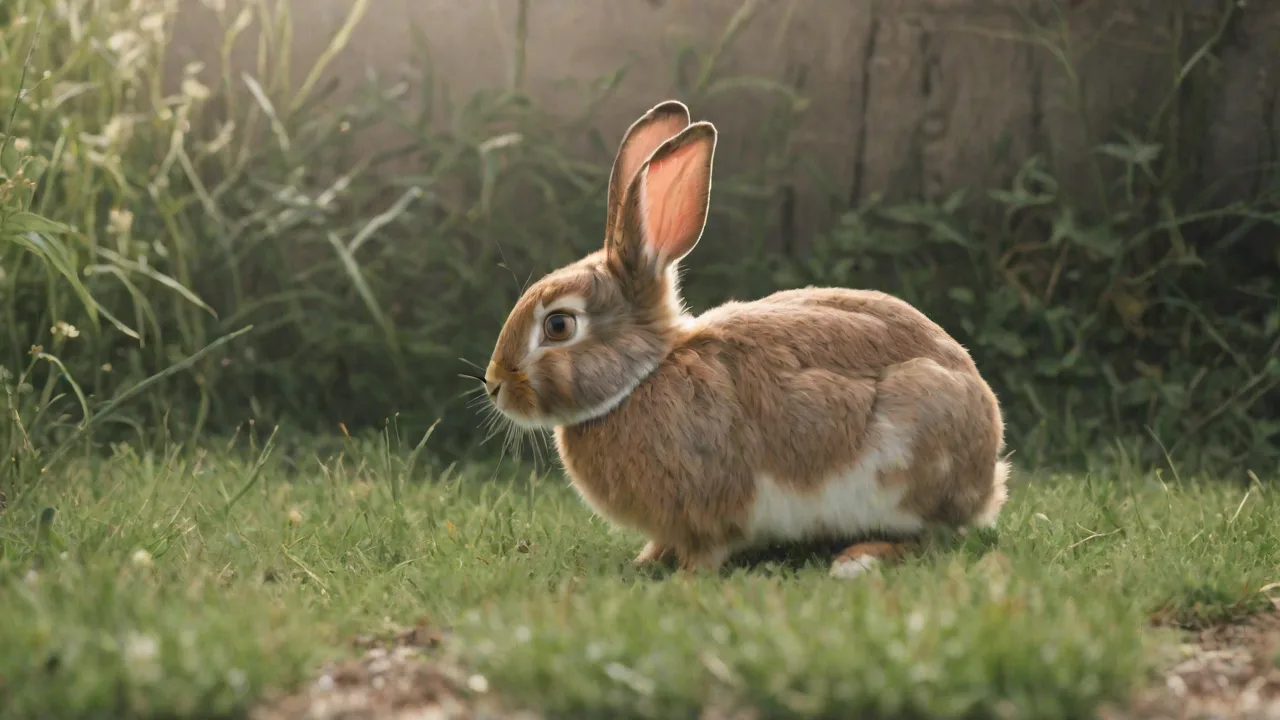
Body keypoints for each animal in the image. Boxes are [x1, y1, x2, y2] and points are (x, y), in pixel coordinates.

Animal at [482, 100, 1010, 578]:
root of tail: (988, 477)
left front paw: (685, 578)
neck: (641, 378)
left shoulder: (713, 506)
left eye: (558, 325)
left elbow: (708, 550)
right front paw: (645, 560)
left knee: (934, 539)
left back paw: (857, 560)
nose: (493, 385)